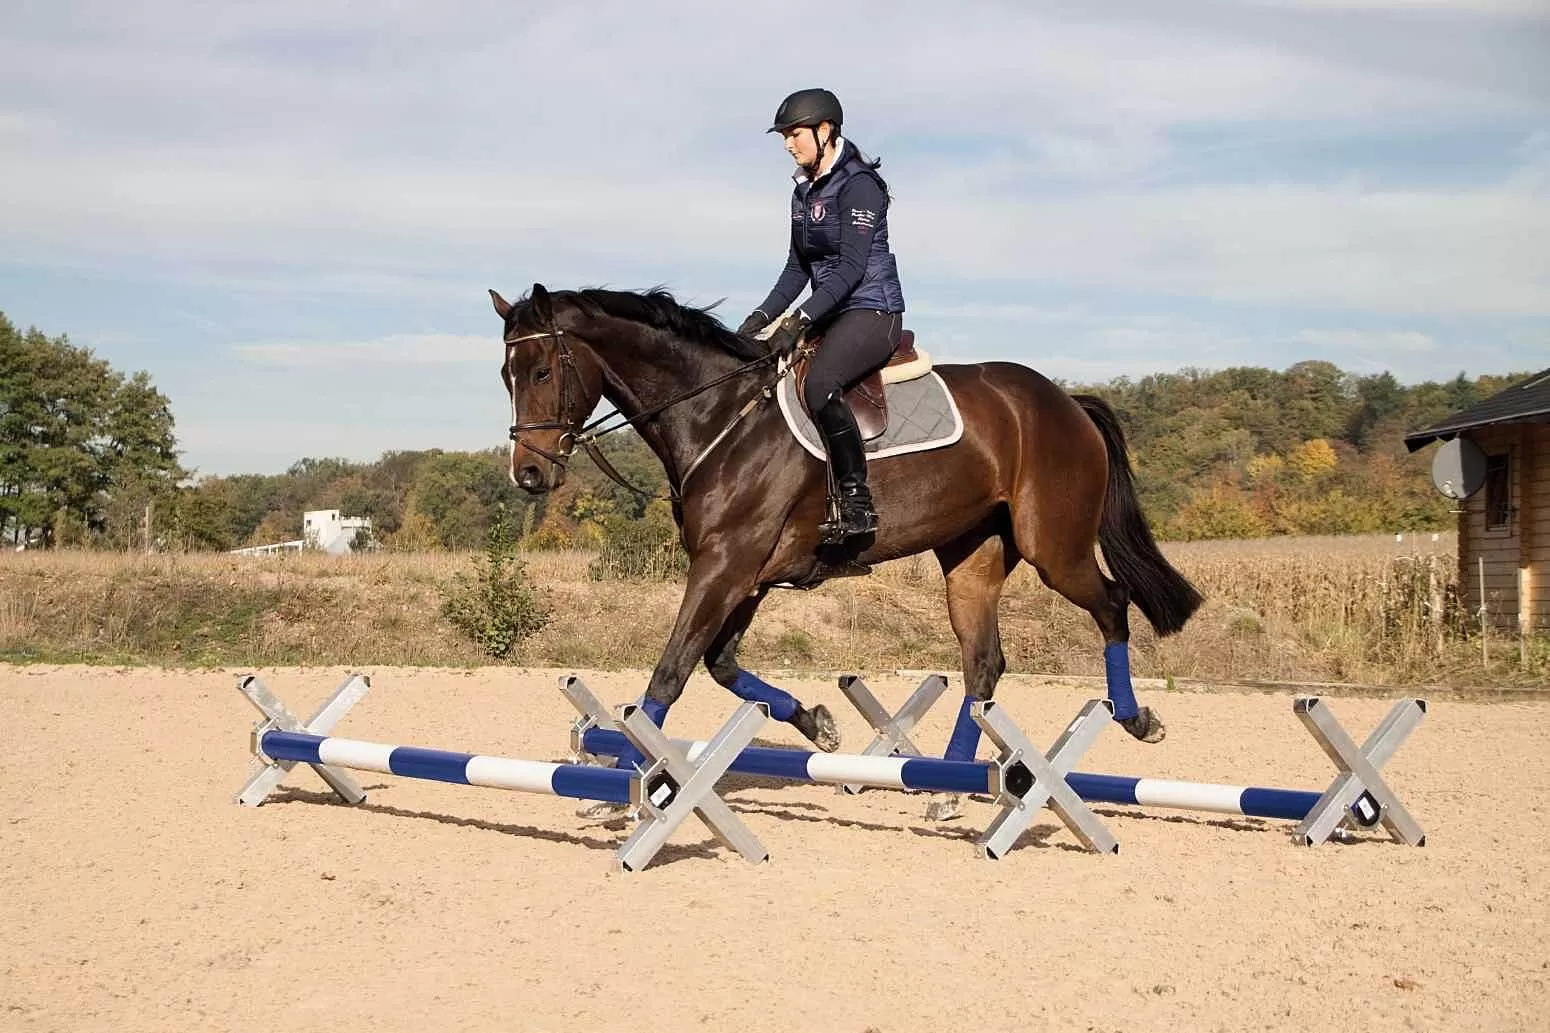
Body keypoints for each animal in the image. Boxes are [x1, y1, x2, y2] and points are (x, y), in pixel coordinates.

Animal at [489, 282, 1202, 818]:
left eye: (544, 370)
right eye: (505, 374)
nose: (530, 474)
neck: (719, 416)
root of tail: (1066, 402)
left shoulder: (727, 565)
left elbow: (672, 670)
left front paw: (634, 781)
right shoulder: (746, 574)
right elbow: (720, 664)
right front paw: (817, 724)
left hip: (1054, 547)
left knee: (1111, 603)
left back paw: (1137, 719)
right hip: (971, 558)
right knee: (984, 663)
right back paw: (950, 787)